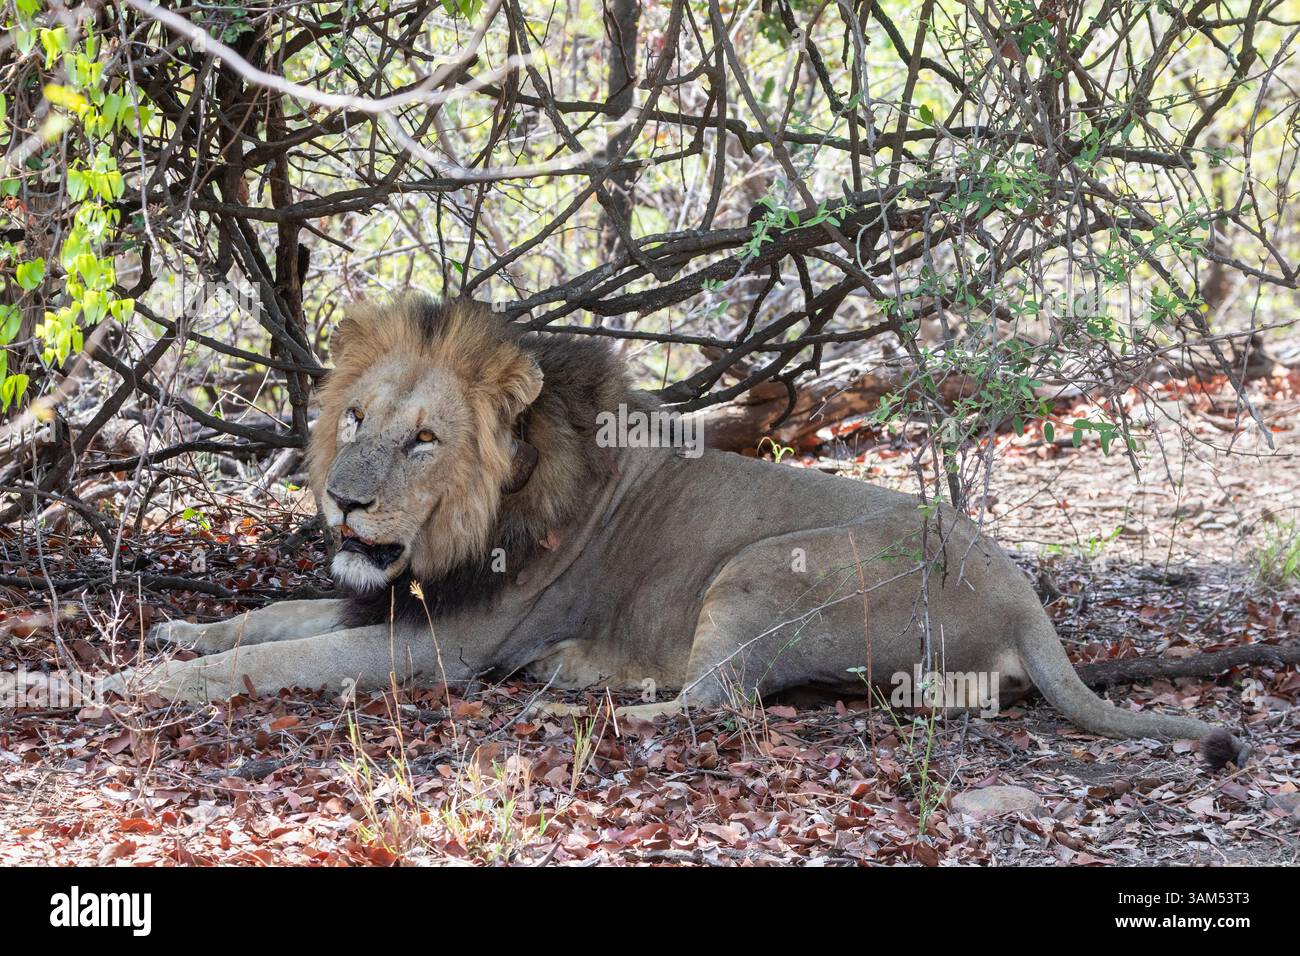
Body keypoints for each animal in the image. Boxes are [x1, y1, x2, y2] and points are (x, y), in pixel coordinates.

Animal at [108, 295, 1247, 769]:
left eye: (424, 439)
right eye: (353, 418)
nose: (343, 500)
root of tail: (1024, 599)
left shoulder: (440, 645)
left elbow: (275, 658)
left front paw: (140, 682)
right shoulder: (383, 596)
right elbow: (264, 619)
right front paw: (180, 633)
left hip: (759, 567)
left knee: (719, 699)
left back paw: (586, 698)